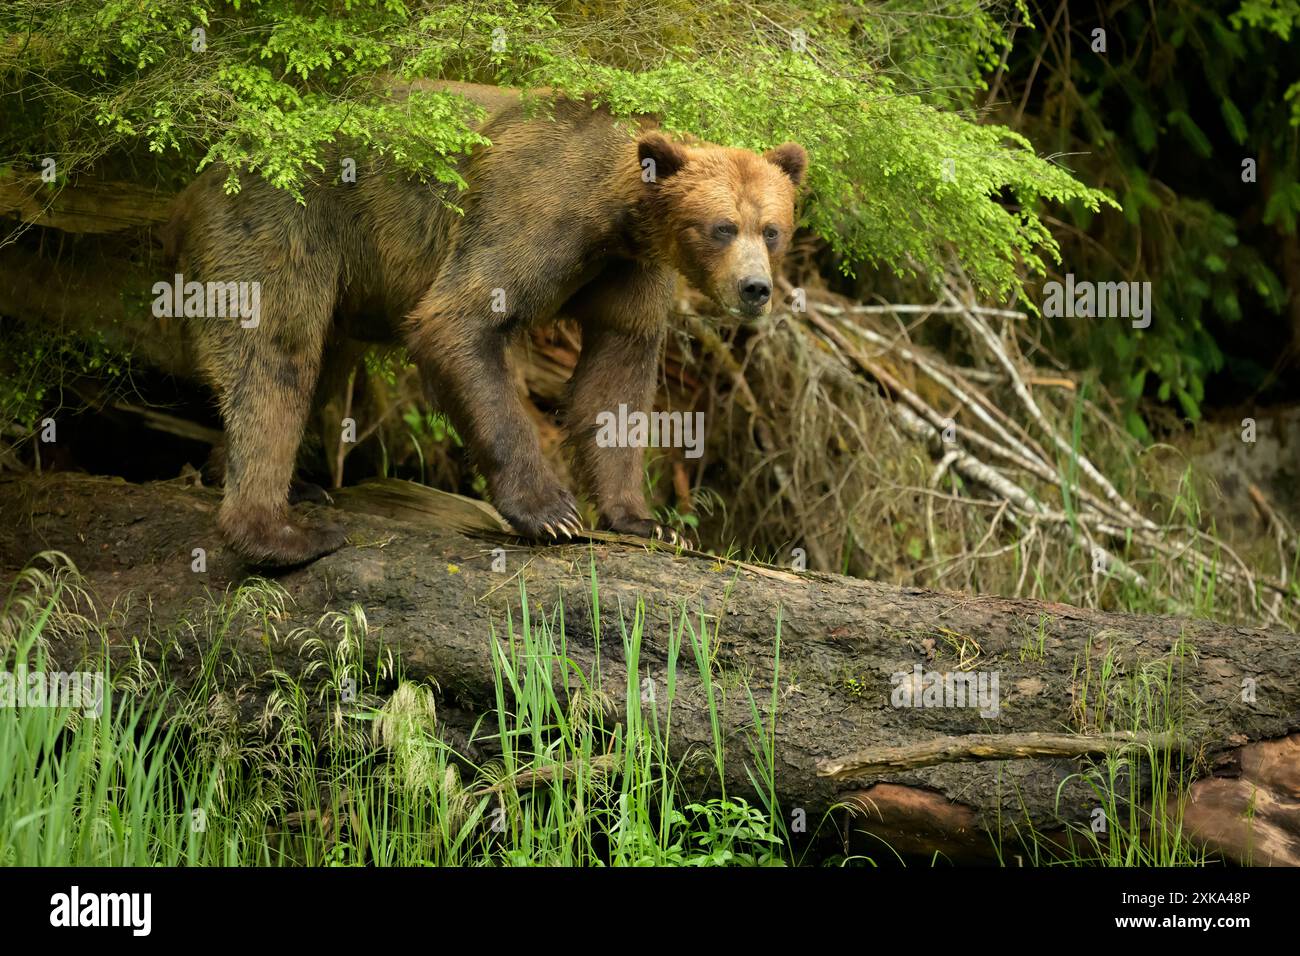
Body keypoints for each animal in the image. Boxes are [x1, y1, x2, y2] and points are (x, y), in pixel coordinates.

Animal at [162, 81, 807, 566]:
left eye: (772, 229)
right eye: (722, 227)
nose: (756, 289)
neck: (612, 217)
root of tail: (196, 180)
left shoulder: (628, 272)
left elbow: (615, 381)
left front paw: (647, 521)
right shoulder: (531, 213)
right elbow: (457, 322)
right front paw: (551, 512)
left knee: (316, 363)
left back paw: (287, 483)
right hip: (278, 225)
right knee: (276, 356)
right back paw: (282, 533)